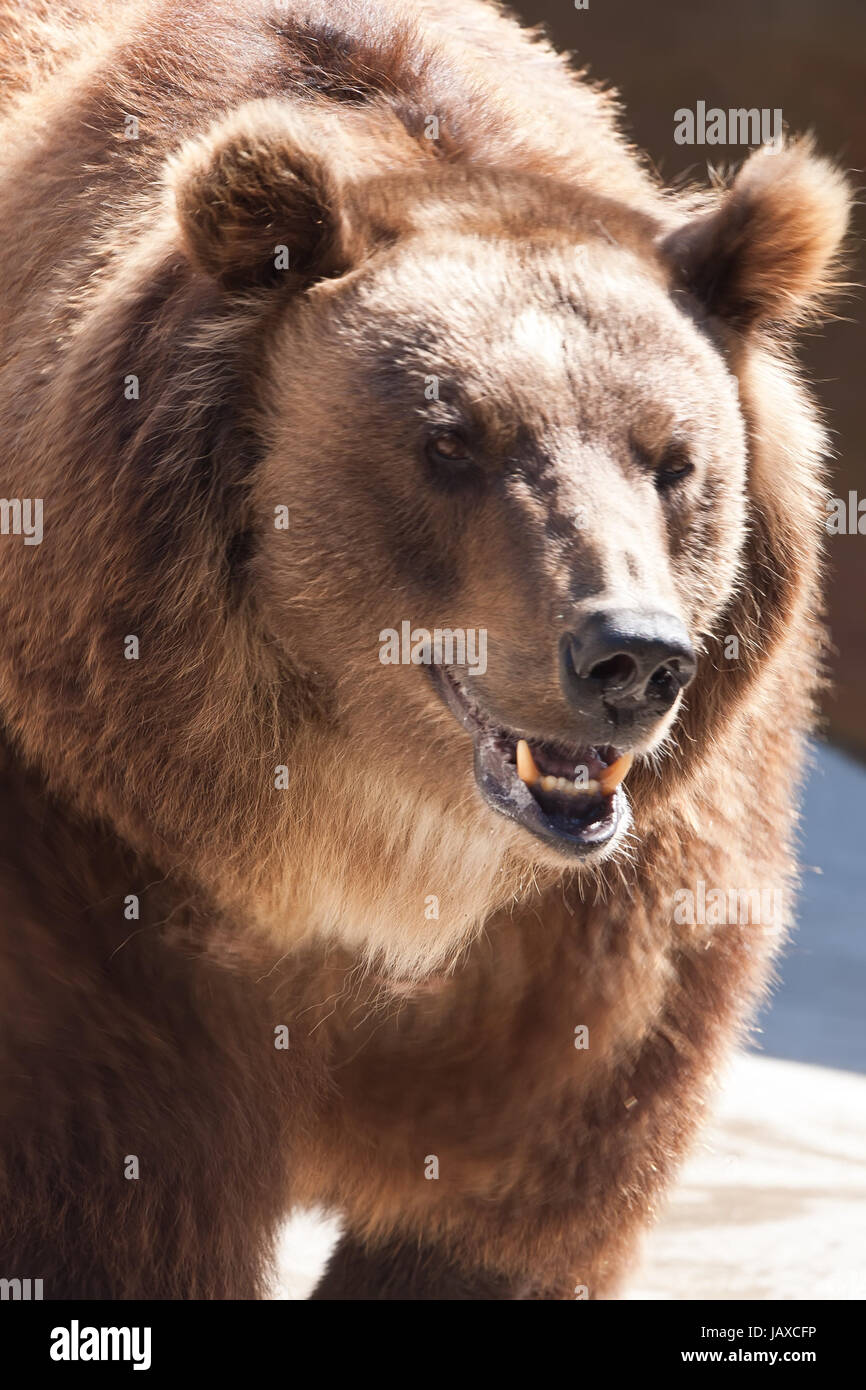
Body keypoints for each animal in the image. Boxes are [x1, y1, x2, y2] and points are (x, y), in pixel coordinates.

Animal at [0, 0, 850, 1300]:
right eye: (451, 439)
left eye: (673, 459)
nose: (629, 656)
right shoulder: (89, 851)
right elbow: (108, 1197)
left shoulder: (599, 938)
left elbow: (514, 1209)